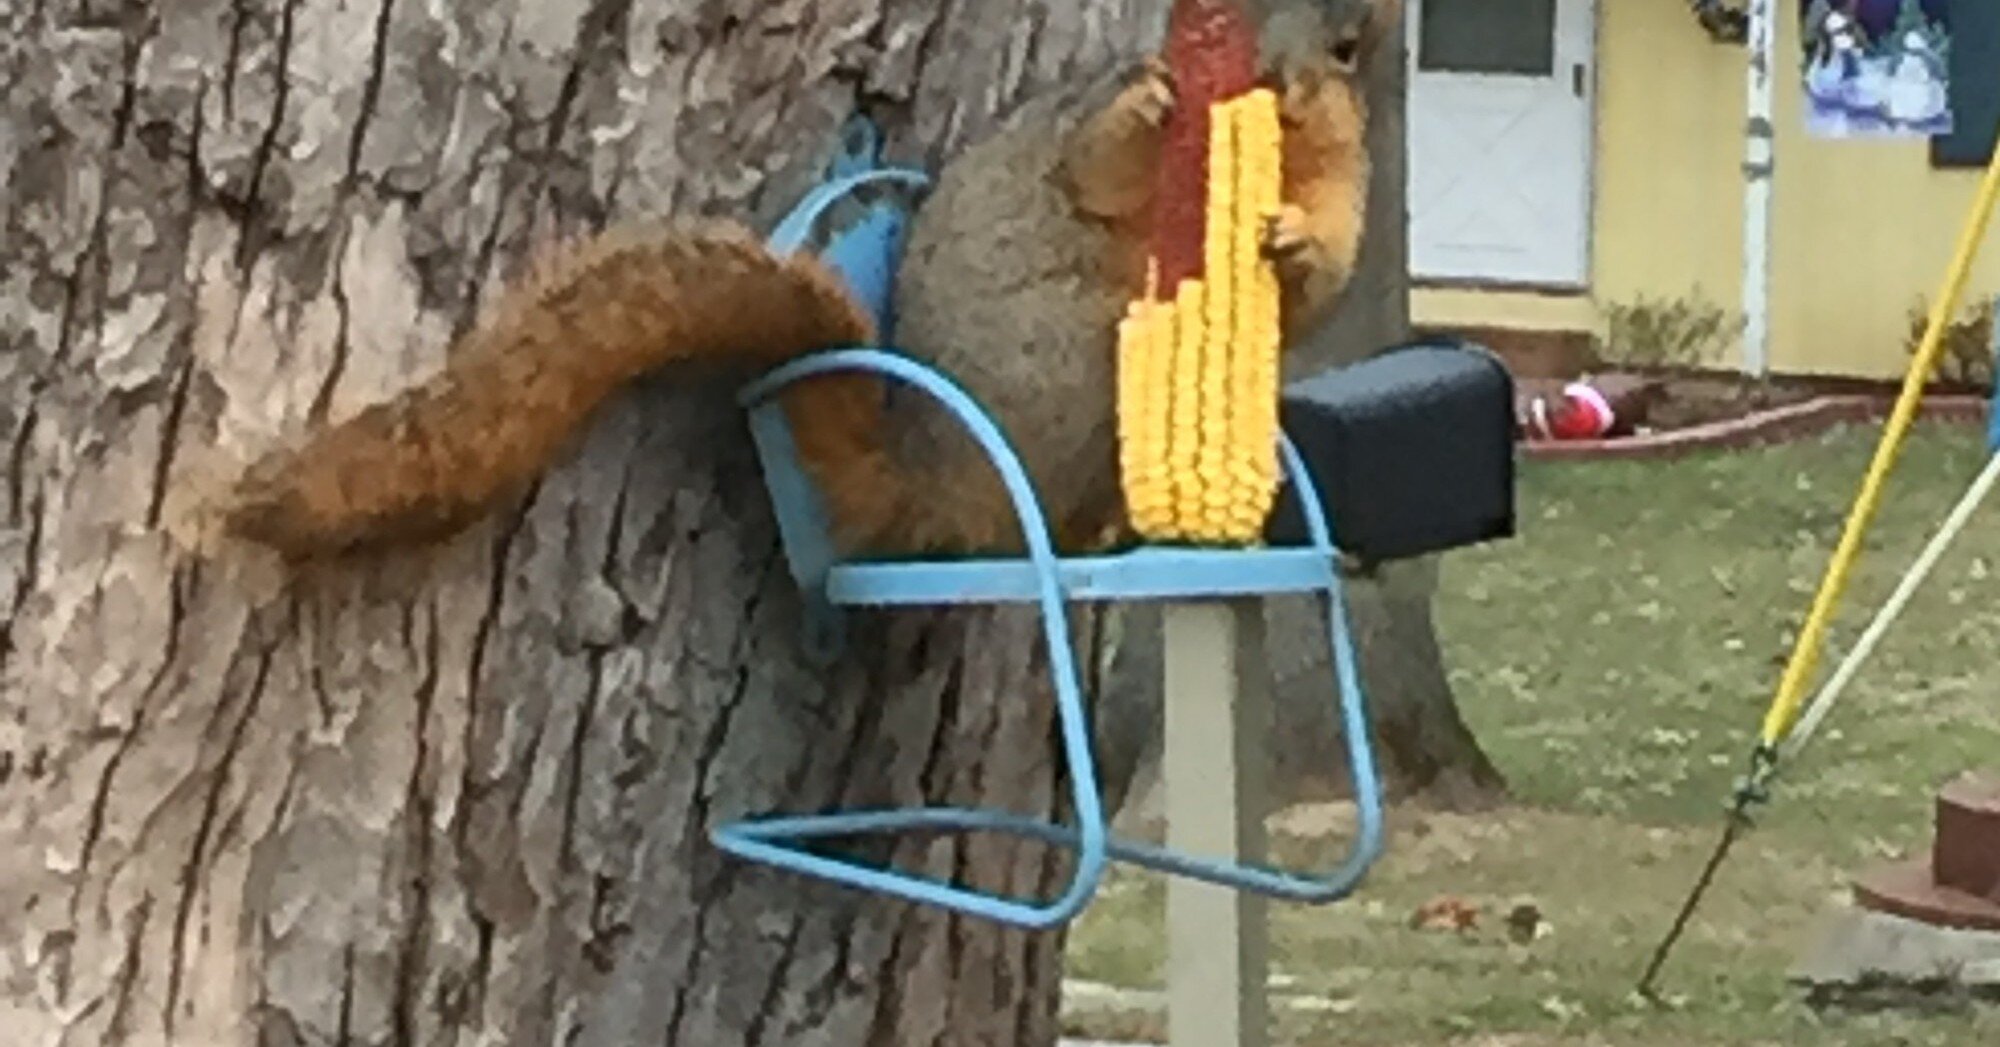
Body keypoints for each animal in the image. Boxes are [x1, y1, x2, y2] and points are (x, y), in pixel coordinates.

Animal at [222, 0, 1392, 563]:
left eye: (1347, 46)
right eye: (1209, 20)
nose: (1276, 81)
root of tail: (937, 485)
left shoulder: (1349, 177)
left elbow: (1321, 282)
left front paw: (1291, 243)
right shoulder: (1078, 133)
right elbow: (1093, 168)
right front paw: (1151, 105)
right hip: (1071, 357)